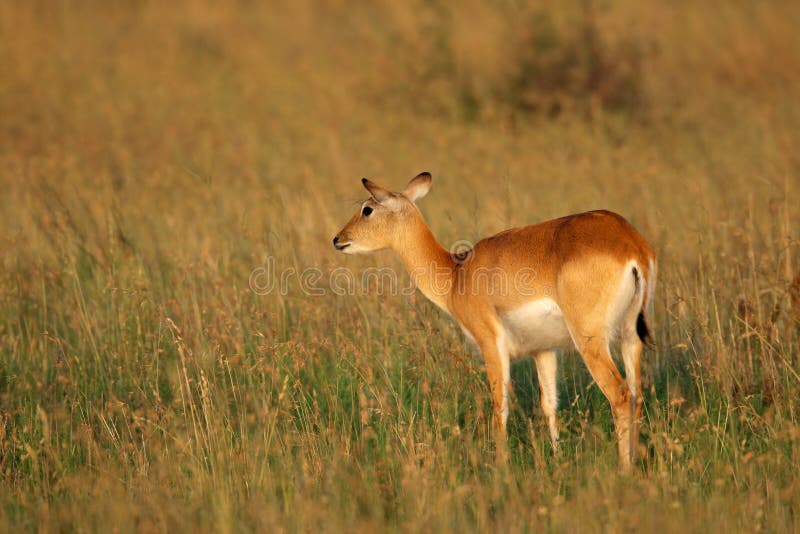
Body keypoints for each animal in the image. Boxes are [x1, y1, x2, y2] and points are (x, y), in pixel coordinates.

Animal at [333, 173, 656, 469]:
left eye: (367, 209)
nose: (338, 239)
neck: (456, 276)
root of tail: (631, 245)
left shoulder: (491, 344)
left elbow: (499, 407)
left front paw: (500, 467)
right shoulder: (544, 350)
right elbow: (549, 405)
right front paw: (555, 458)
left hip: (591, 341)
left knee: (620, 394)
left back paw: (624, 468)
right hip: (630, 337)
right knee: (637, 395)